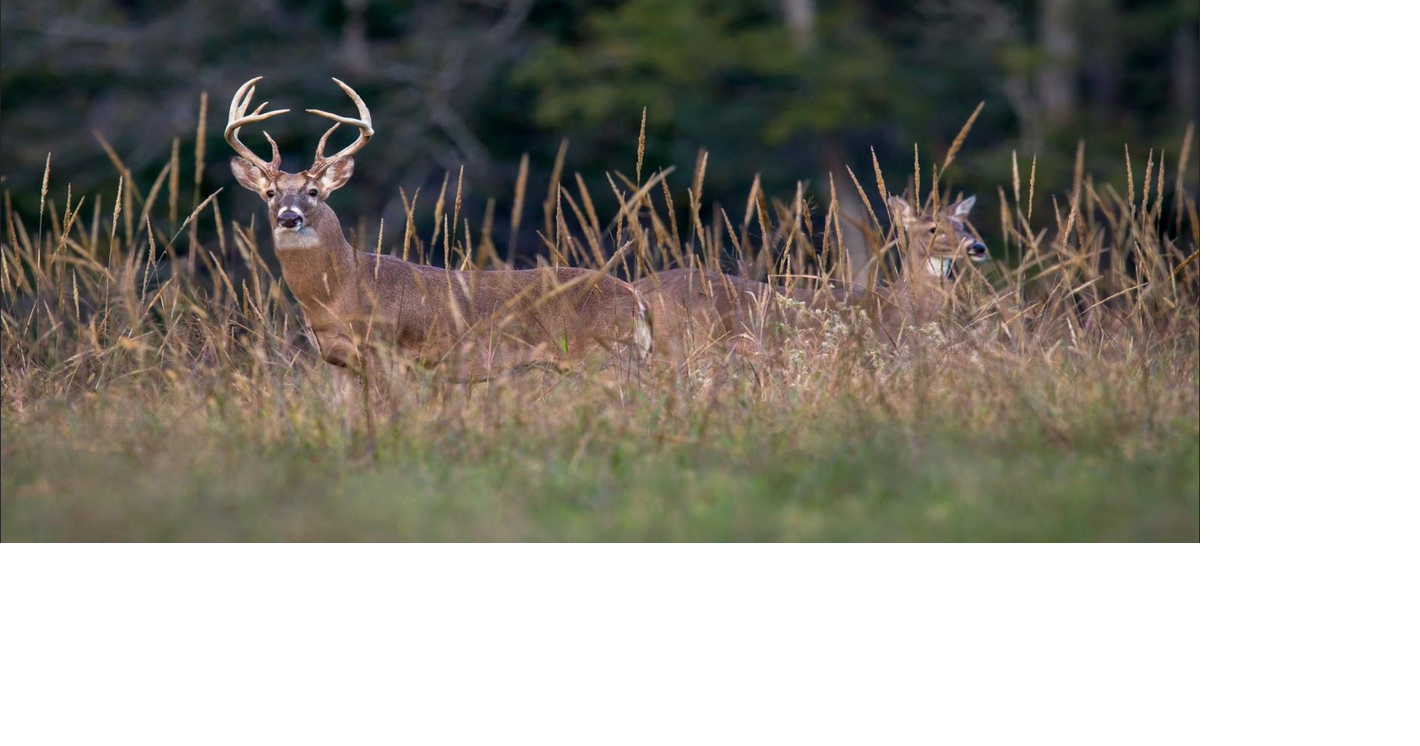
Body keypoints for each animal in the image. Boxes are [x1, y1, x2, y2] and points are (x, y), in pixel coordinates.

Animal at [224, 77, 652, 384]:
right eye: (270, 193)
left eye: (313, 191)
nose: (288, 217)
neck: (340, 290)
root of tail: (635, 298)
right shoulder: (336, 361)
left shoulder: (386, 352)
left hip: (605, 355)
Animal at [634, 194, 986, 362]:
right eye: (934, 229)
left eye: (963, 225)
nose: (978, 246)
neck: (901, 306)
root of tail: (639, 286)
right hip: (682, 341)